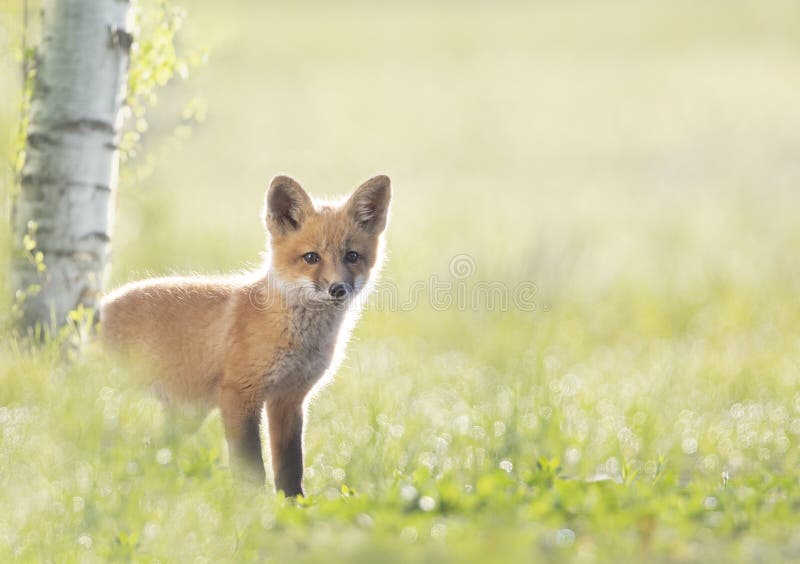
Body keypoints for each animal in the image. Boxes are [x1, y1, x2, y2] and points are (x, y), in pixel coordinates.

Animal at [100, 174, 391, 496]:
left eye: (352, 256)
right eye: (311, 257)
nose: (338, 289)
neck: (295, 337)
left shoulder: (288, 400)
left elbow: (290, 468)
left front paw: (294, 506)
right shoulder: (240, 393)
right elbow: (250, 470)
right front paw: (248, 506)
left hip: (185, 416)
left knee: (149, 453)